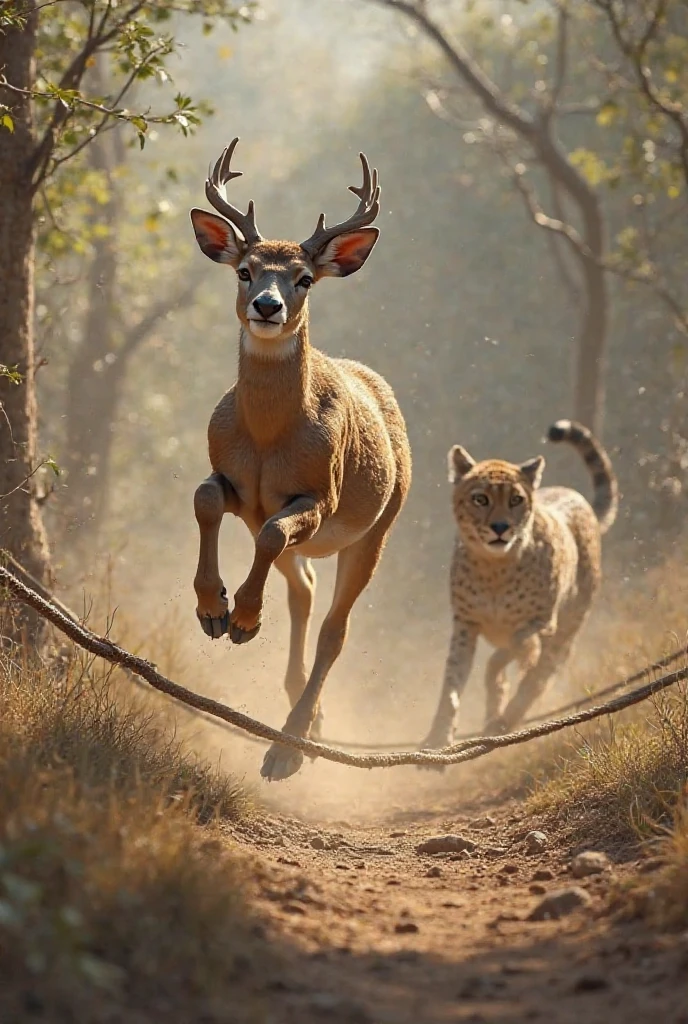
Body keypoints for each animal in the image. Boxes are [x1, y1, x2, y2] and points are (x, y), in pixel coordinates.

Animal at [189, 139, 412, 782]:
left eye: (305, 279)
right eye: (245, 269)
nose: (267, 305)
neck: (268, 440)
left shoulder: (320, 495)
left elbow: (269, 533)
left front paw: (242, 617)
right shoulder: (237, 485)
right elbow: (205, 497)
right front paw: (213, 609)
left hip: (378, 526)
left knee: (336, 629)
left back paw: (287, 748)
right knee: (305, 590)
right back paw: (304, 718)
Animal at [420, 419, 618, 751]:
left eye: (516, 499)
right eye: (480, 499)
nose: (501, 527)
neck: (494, 568)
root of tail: (577, 498)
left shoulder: (542, 621)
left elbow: (508, 651)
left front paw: (513, 670)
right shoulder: (465, 625)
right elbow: (452, 683)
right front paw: (438, 735)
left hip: (567, 628)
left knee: (540, 677)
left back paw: (507, 717)